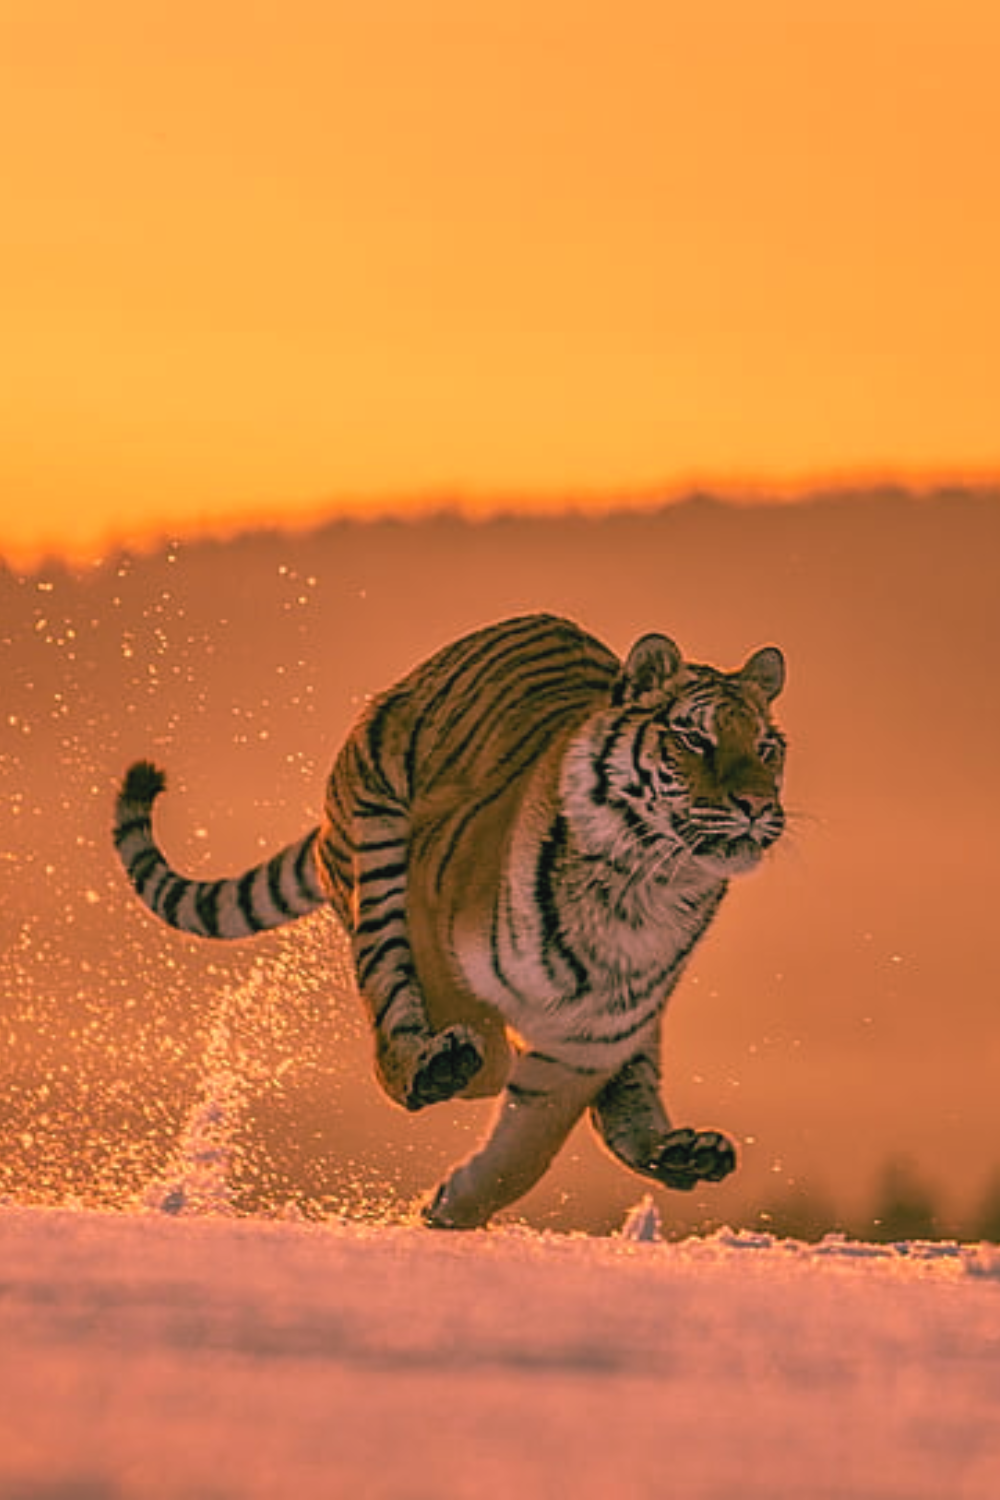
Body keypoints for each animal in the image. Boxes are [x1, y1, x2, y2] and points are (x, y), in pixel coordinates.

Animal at [113, 612, 787, 1229]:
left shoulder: (591, 1038)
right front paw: (462, 1071)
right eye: (694, 739)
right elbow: (475, 1037)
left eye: (767, 748)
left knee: (630, 1100)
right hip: (377, 852)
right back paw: (433, 1068)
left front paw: (451, 1210)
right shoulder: (430, 918)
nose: (756, 805)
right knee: (388, 1024)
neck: (641, 886)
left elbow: (526, 1151)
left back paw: (685, 1153)